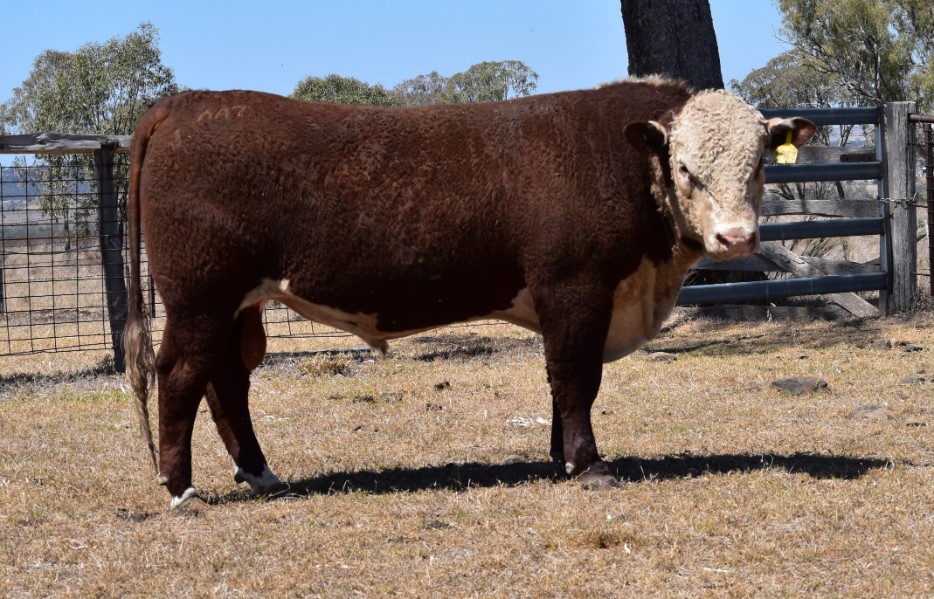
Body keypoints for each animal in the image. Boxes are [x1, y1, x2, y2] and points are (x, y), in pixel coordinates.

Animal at [124, 78, 815, 507]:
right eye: (686, 169)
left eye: (760, 163)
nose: (736, 237)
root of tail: (185, 103)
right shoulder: (576, 287)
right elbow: (576, 376)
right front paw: (588, 464)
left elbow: (559, 381)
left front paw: (559, 457)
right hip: (199, 296)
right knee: (180, 373)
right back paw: (179, 486)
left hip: (236, 304)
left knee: (226, 380)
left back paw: (260, 472)